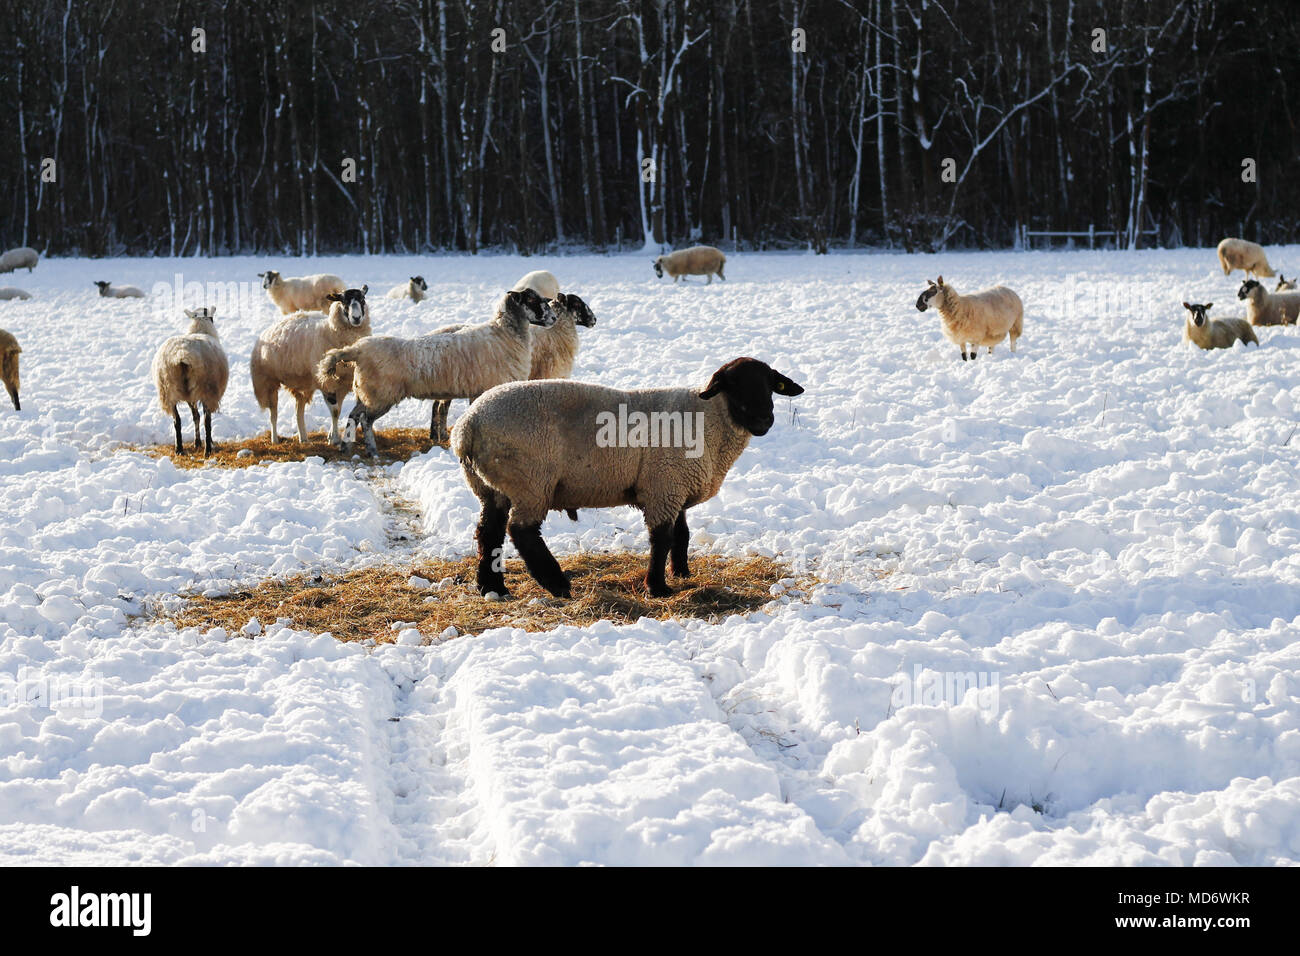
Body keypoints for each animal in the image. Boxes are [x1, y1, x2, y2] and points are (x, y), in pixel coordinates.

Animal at [151, 307, 230, 456]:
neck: (200, 329)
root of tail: (181, 354)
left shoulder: (190, 396)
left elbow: (195, 416)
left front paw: (197, 442)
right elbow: (201, 418)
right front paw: (205, 443)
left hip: (168, 390)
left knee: (177, 420)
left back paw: (179, 449)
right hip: (207, 389)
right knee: (207, 421)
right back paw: (208, 450)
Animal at [250, 286, 371, 445]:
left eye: (363, 299)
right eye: (344, 301)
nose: (356, 318)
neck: (330, 330)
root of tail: (266, 331)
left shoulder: (342, 384)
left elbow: (338, 409)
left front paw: (332, 435)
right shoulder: (327, 383)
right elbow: (335, 411)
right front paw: (334, 439)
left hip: (301, 384)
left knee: (298, 411)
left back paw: (303, 438)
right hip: (268, 382)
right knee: (273, 413)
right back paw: (275, 439)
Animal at [319, 288, 557, 457]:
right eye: (532, 300)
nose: (554, 319)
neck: (505, 334)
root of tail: (357, 349)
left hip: (366, 392)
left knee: (354, 415)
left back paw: (347, 447)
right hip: (381, 394)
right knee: (366, 420)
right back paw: (372, 451)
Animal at [428, 290, 599, 445]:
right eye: (577, 303)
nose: (595, 319)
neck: (555, 332)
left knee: (438, 405)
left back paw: (436, 435)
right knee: (441, 407)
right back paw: (440, 436)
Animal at [452, 357, 804, 599]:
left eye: (771, 385)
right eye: (734, 385)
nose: (764, 420)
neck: (711, 418)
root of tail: (467, 428)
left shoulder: (675, 487)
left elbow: (682, 534)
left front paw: (682, 573)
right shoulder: (664, 486)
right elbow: (662, 538)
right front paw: (658, 587)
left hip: (491, 486)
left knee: (489, 533)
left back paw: (492, 588)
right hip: (532, 481)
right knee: (521, 532)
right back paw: (557, 584)